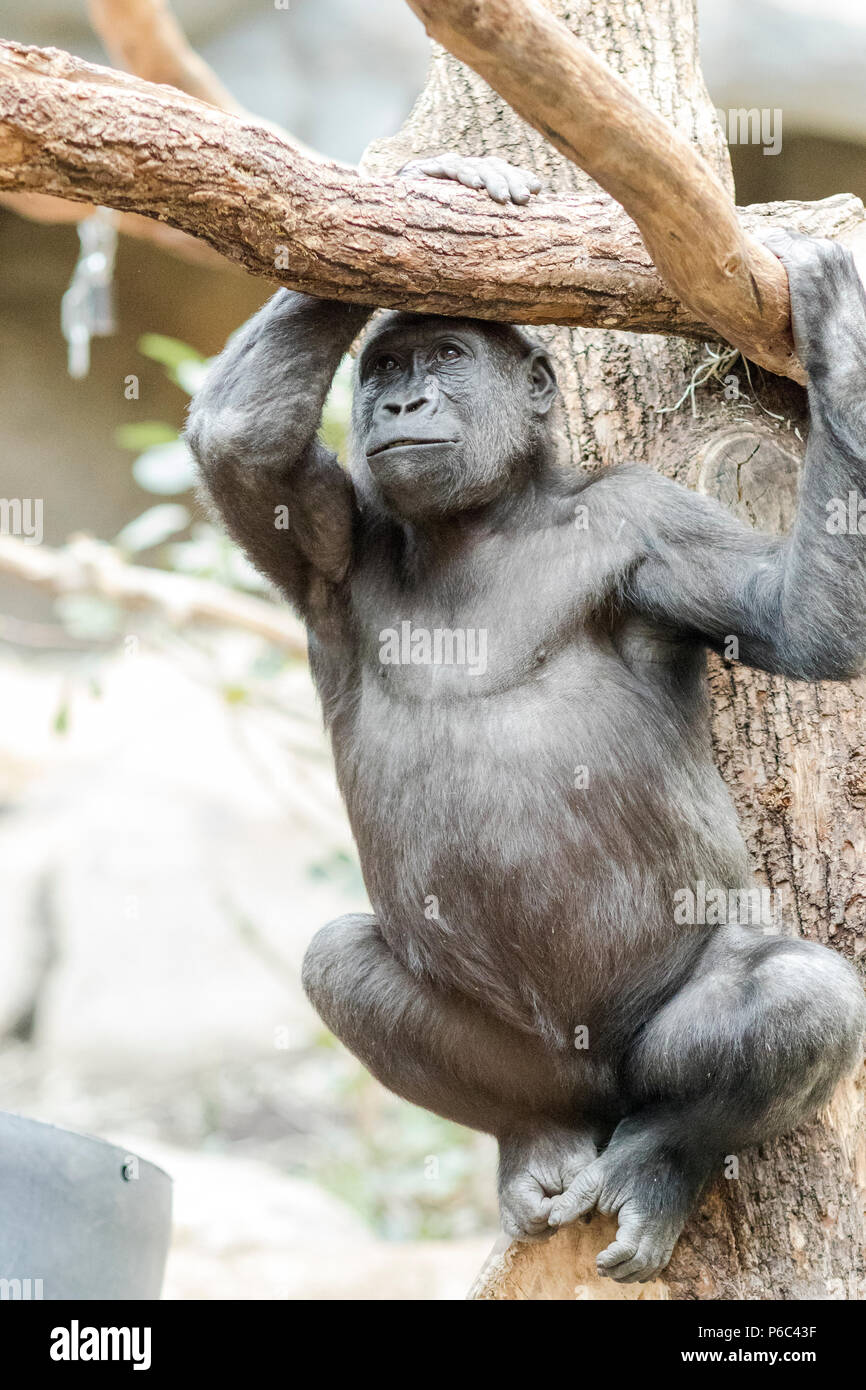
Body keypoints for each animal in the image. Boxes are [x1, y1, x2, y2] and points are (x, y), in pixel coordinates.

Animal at [186, 152, 866, 1283]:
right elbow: (244, 445)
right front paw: (437, 177)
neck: (488, 517)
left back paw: (661, 1160)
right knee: (344, 967)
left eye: (447, 356)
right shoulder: (327, 540)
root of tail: (594, 1098)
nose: (402, 398)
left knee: (796, 999)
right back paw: (531, 1139)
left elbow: (799, 621)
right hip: (535, 1069)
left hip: (643, 1061)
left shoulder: (652, 522)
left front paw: (842, 341)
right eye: (382, 369)